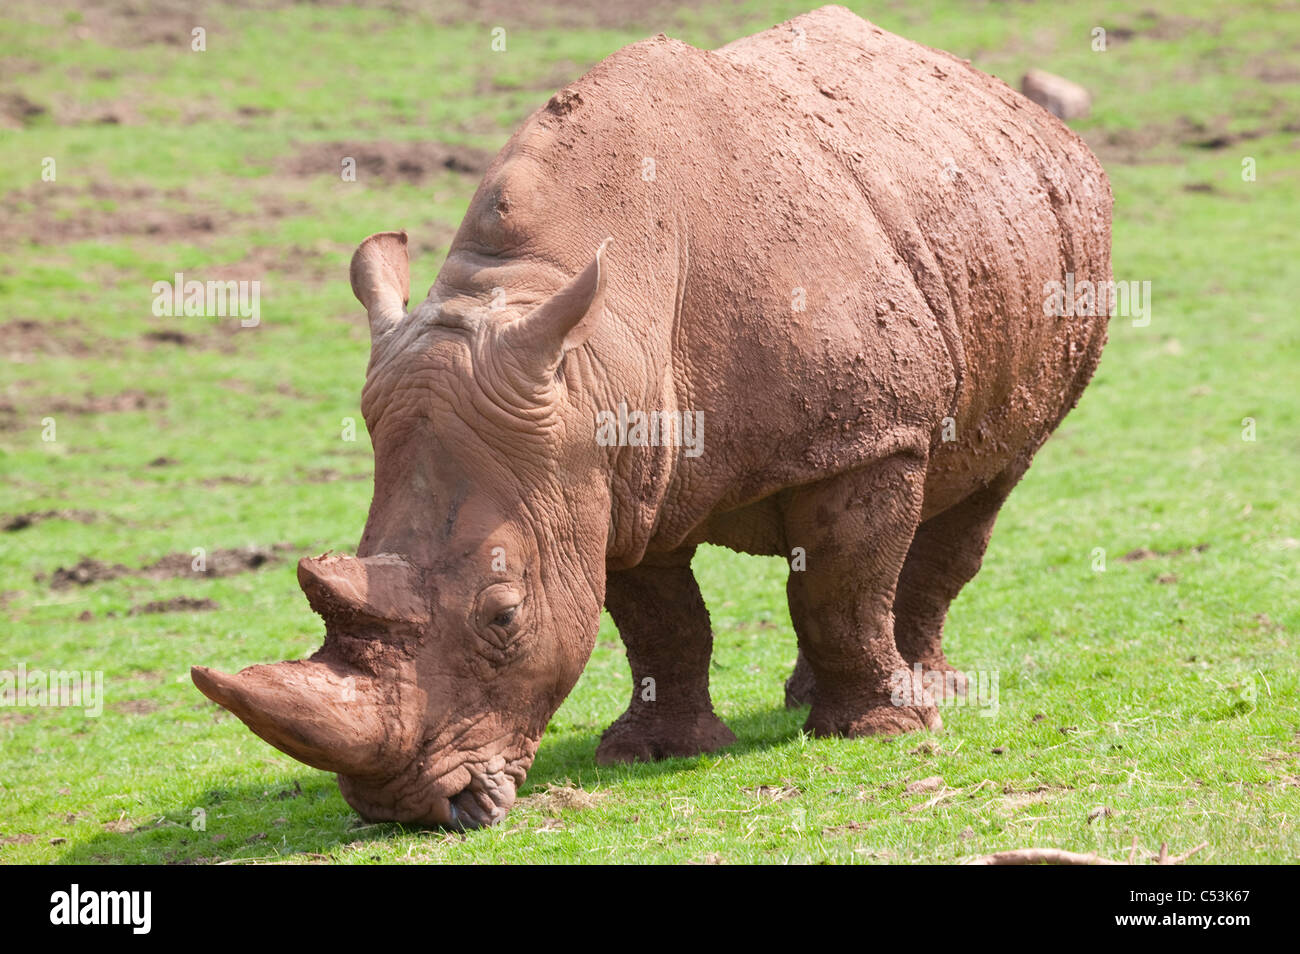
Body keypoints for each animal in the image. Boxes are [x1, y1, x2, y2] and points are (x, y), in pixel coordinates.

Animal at [192, 5, 1111, 829]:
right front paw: (659, 752)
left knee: (978, 490)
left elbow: (841, 589)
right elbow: (660, 621)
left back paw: (925, 690)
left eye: (504, 615)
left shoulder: (865, 437)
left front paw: (879, 733)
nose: (403, 809)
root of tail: (1002, 97)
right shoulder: (605, 472)